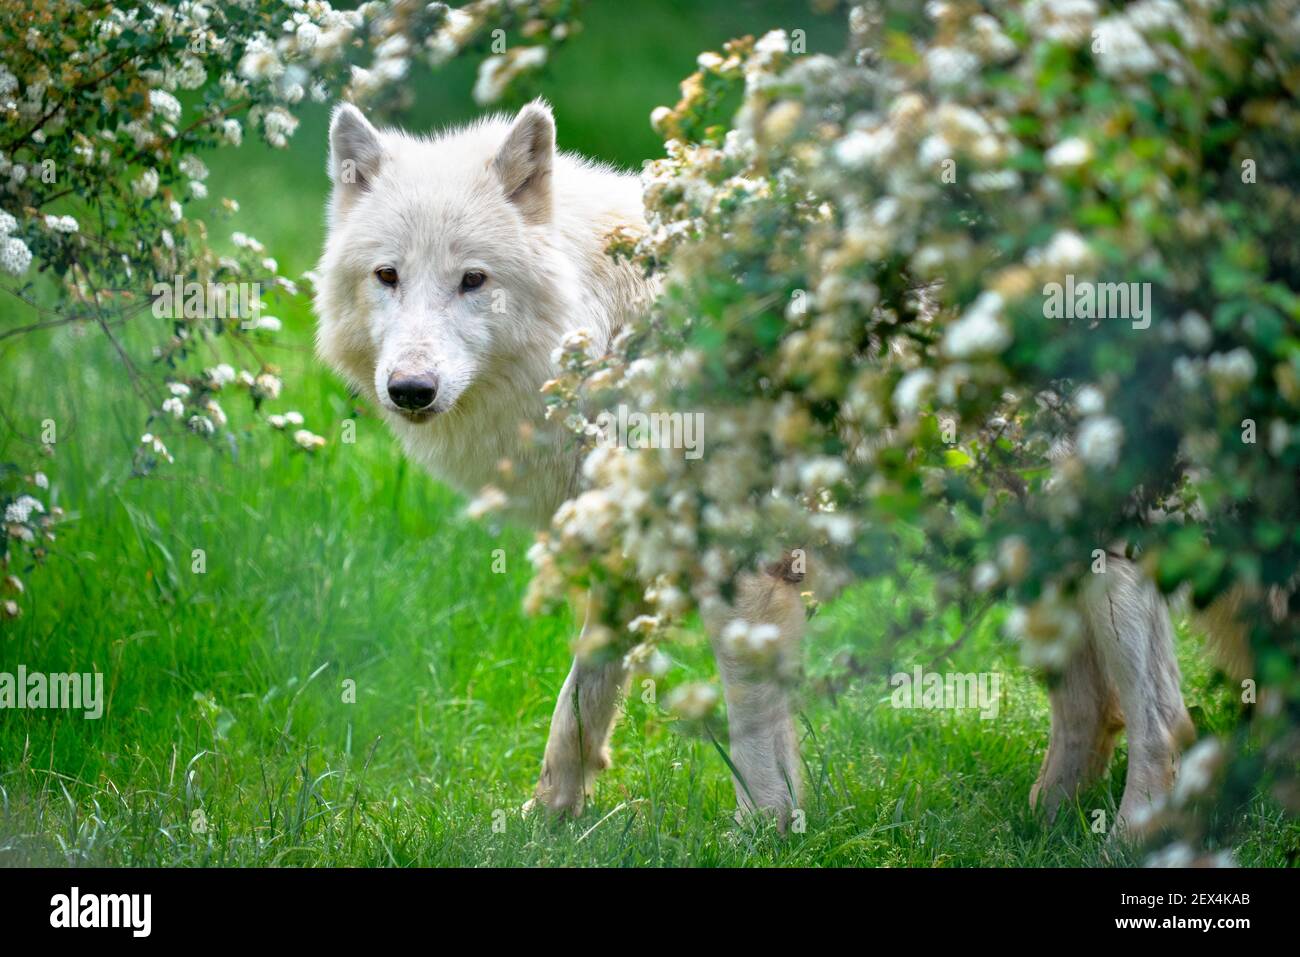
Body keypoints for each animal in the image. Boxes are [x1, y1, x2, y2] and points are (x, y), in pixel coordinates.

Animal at [314, 100, 1239, 835]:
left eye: (473, 280)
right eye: (387, 275)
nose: (410, 389)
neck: (611, 337)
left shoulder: (747, 574)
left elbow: (755, 739)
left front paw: (763, 836)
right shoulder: (621, 566)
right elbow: (577, 712)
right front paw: (545, 824)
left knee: (1166, 722)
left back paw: (1128, 839)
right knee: (1094, 706)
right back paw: (1041, 823)